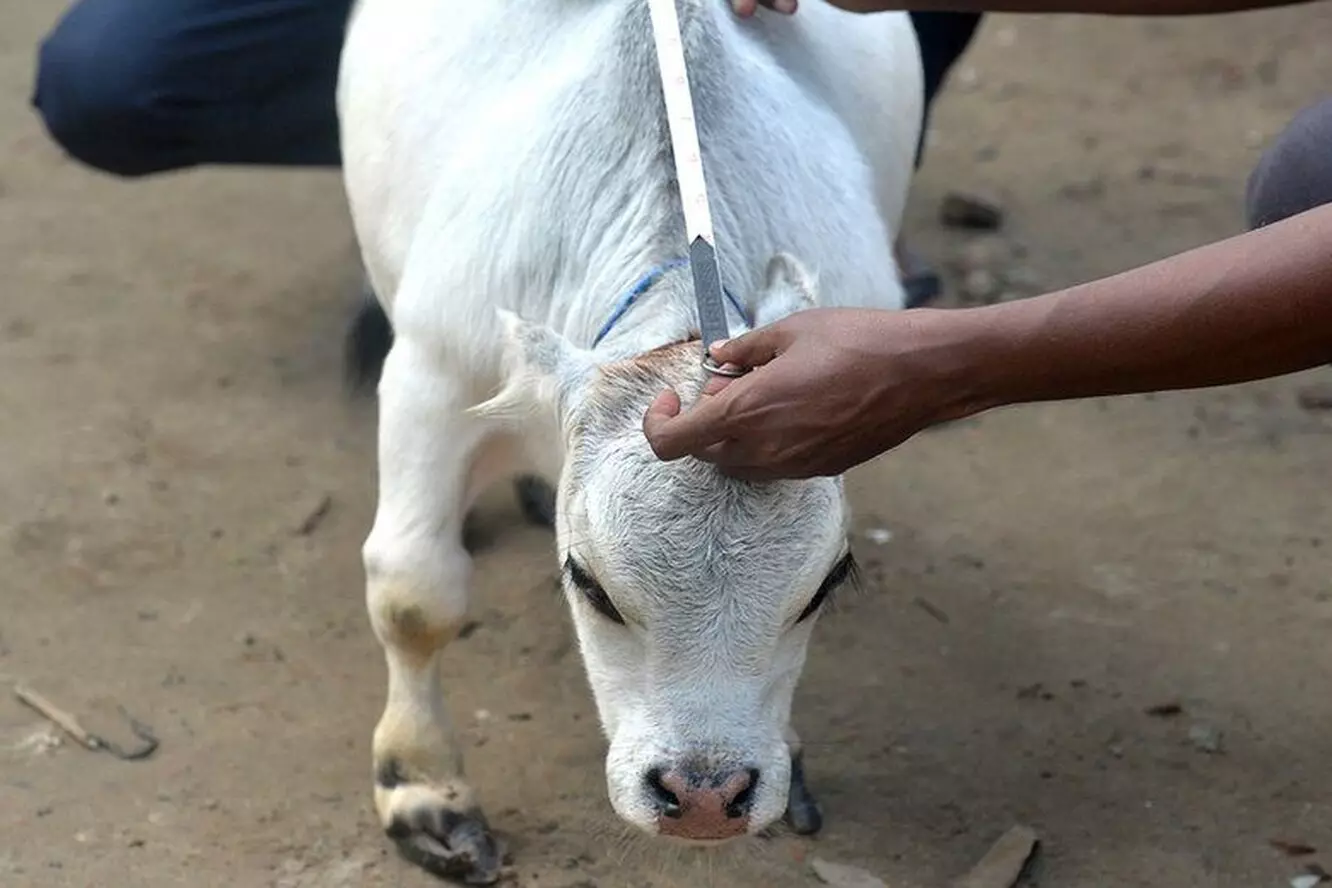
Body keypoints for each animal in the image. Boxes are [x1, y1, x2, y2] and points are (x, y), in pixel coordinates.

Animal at [335, 0, 916, 878]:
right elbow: (414, 596)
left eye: (827, 584)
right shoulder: (432, 379)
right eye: (589, 584)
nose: (705, 796)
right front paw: (424, 788)